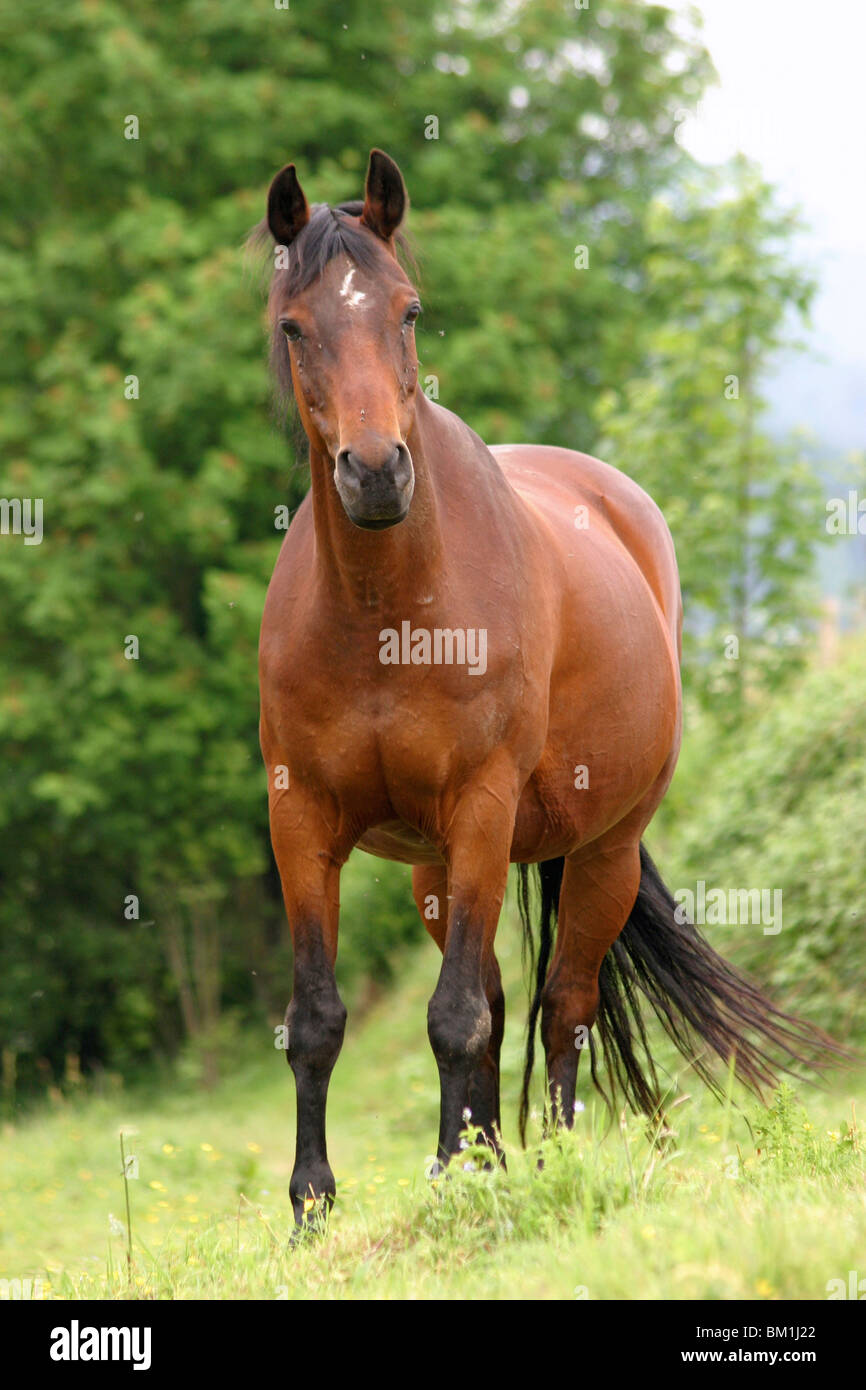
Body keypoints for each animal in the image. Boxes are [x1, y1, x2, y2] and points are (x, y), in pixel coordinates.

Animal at [253, 148, 840, 1229]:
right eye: (292, 326)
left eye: (406, 310)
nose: (374, 473)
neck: (385, 612)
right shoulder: (301, 818)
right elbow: (321, 1017)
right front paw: (315, 1204)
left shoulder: (481, 808)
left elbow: (454, 1015)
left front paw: (449, 1181)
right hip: (437, 873)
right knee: (495, 1001)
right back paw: (490, 1159)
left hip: (600, 851)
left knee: (564, 1004)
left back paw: (557, 1160)